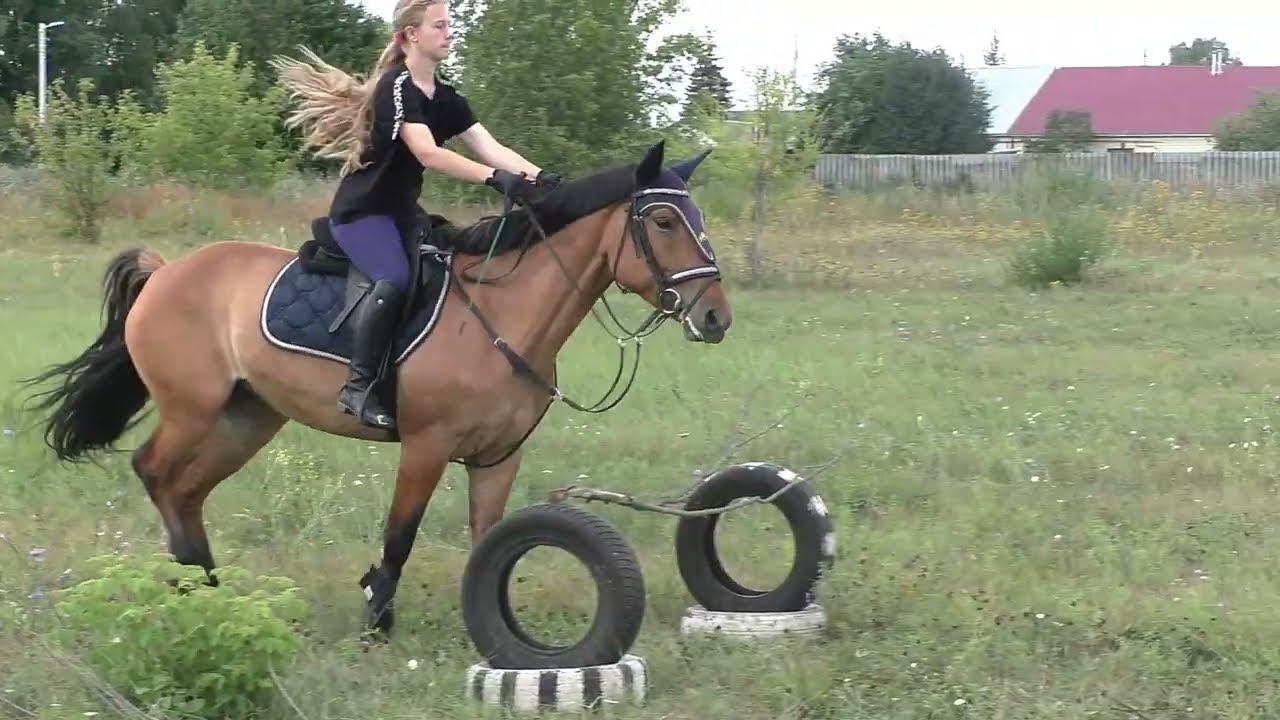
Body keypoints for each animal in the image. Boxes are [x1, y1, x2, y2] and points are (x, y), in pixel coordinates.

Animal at [19, 139, 732, 635]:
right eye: (663, 222)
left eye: (697, 217)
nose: (715, 318)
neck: (502, 317)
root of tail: (166, 271)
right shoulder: (425, 447)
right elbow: (400, 536)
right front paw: (376, 619)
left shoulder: (498, 459)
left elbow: (489, 540)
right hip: (193, 411)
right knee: (154, 471)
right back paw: (195, 581)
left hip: (247, 420)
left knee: (185, 489)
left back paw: (211, 586)